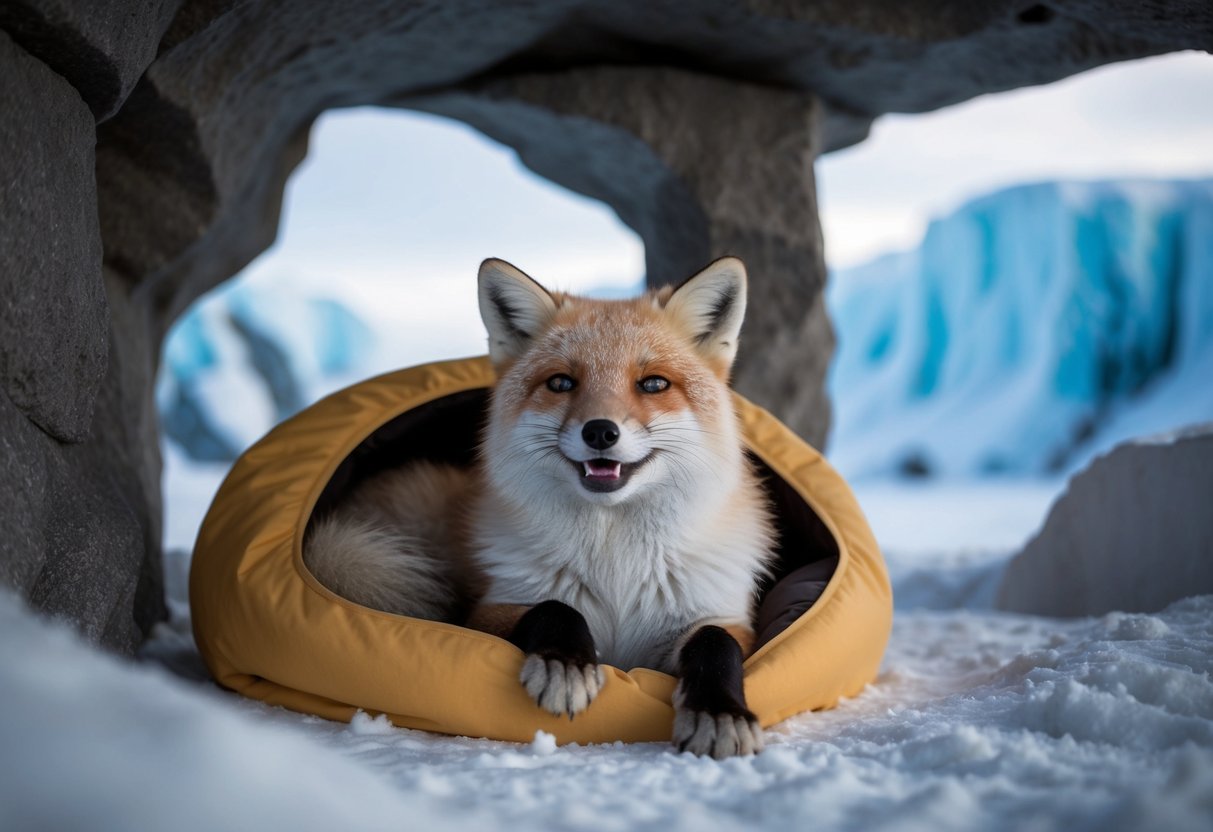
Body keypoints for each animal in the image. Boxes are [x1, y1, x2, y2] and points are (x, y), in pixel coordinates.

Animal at [304, 256, 775, 758]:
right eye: (561, 382)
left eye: (653, 384)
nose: (600, 431)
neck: (617, 569)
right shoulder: (491, 608)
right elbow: (554, 608)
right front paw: (564, 664)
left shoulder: (720, 618)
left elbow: (716, 643)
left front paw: (720, 713)